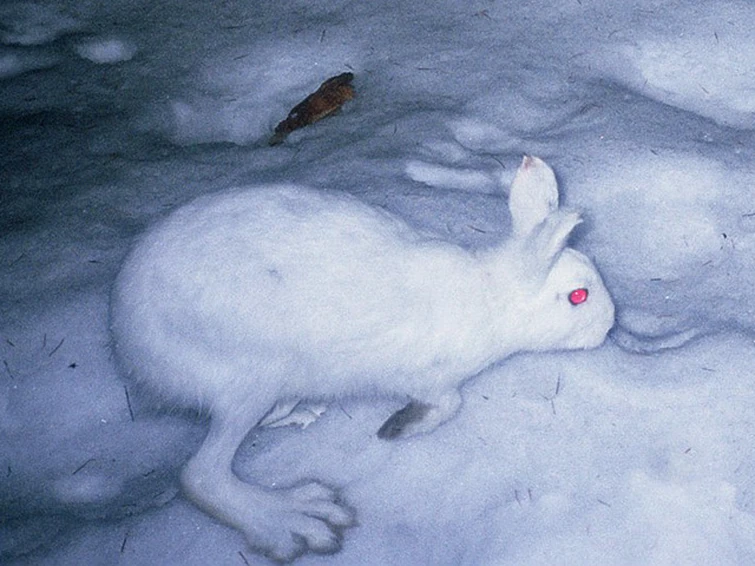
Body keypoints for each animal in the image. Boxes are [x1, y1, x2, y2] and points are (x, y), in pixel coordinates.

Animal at [110, 155, 614, 562]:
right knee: (201, 476)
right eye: (579, 296)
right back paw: (298, 517)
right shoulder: (427, 377)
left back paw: (300, 415)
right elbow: (448, 404)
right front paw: (398, 427)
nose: (609, 324)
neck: (494, 297)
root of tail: (129, 345)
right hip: (251, 379)